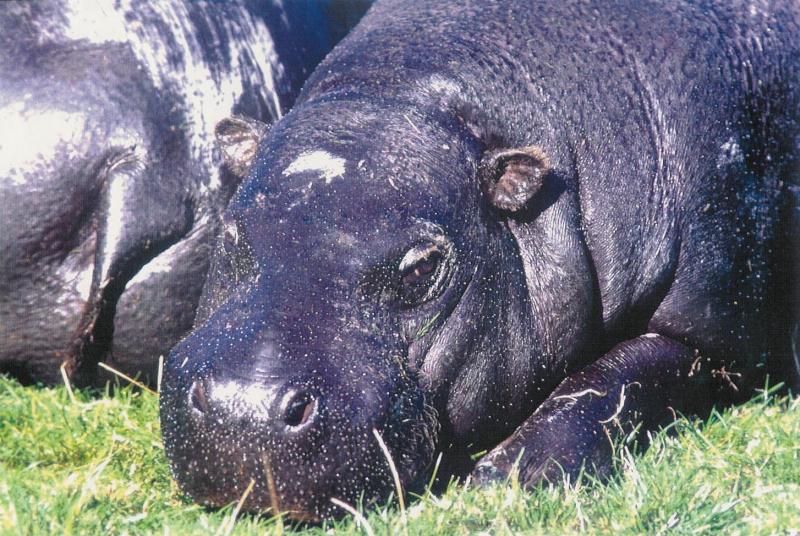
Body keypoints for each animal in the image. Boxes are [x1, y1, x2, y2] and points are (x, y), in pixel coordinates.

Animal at [160, 0, 800, 521]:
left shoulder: (711, 332)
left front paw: (504, 480)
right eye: (230, 230)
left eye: (423, 267)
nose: (243, 408)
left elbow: (613, 380)